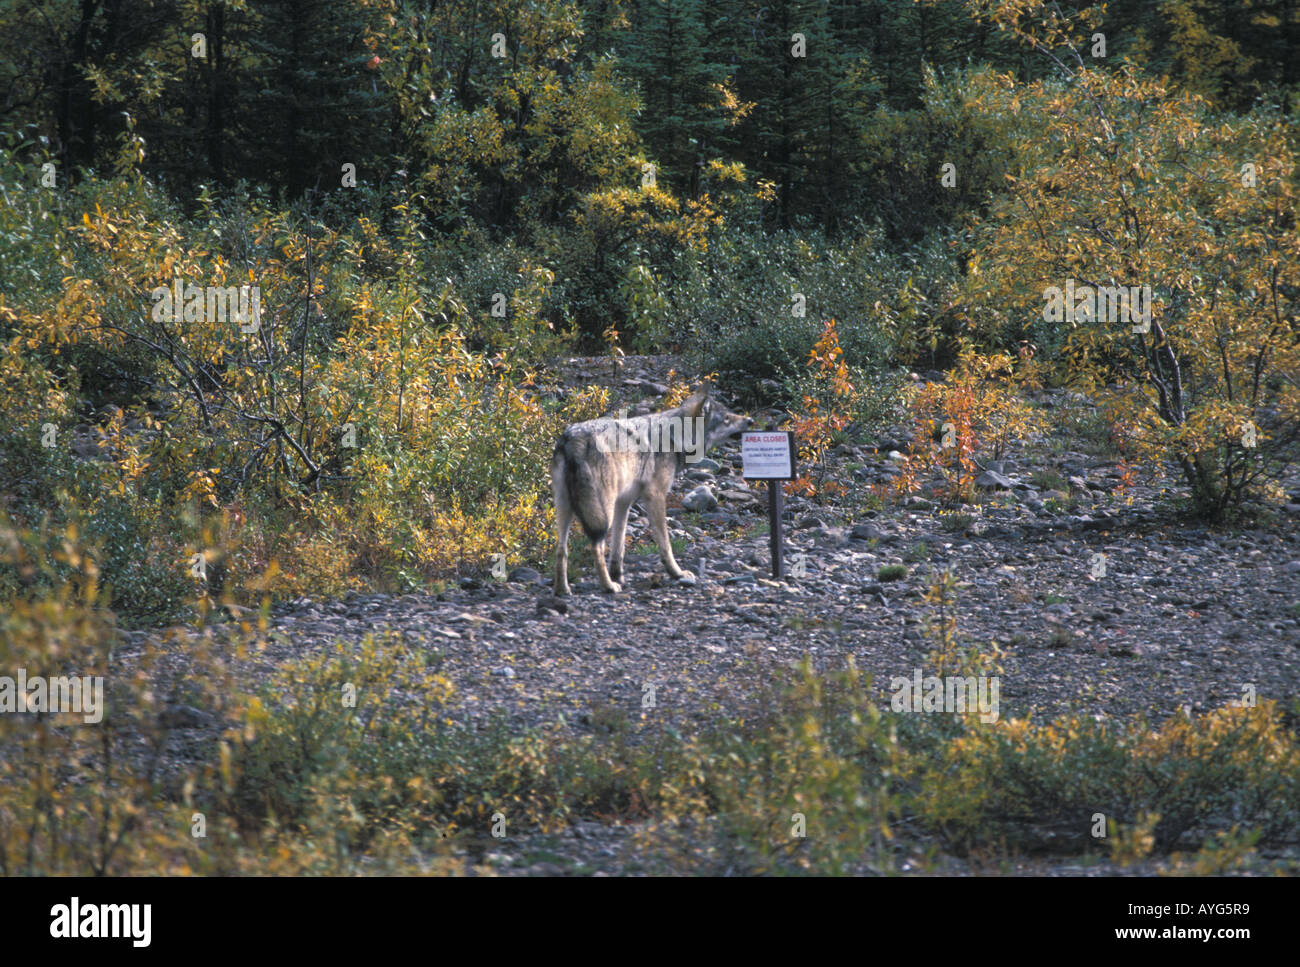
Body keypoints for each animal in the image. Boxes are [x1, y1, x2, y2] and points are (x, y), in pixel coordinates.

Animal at [552, 388, 752, 595]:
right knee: (596, 547)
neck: (675, 437)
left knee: (561, 549)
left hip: (567, 509)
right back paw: (608, 586)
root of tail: (573, 440)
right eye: (727, 418)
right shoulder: (655, 496)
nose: (751, 421)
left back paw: (562, 589)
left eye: (730, 414)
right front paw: (677, 573)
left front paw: (618, 575)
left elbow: (618, 546)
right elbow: (665, 544)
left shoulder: (623, 503)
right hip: (601, 510)